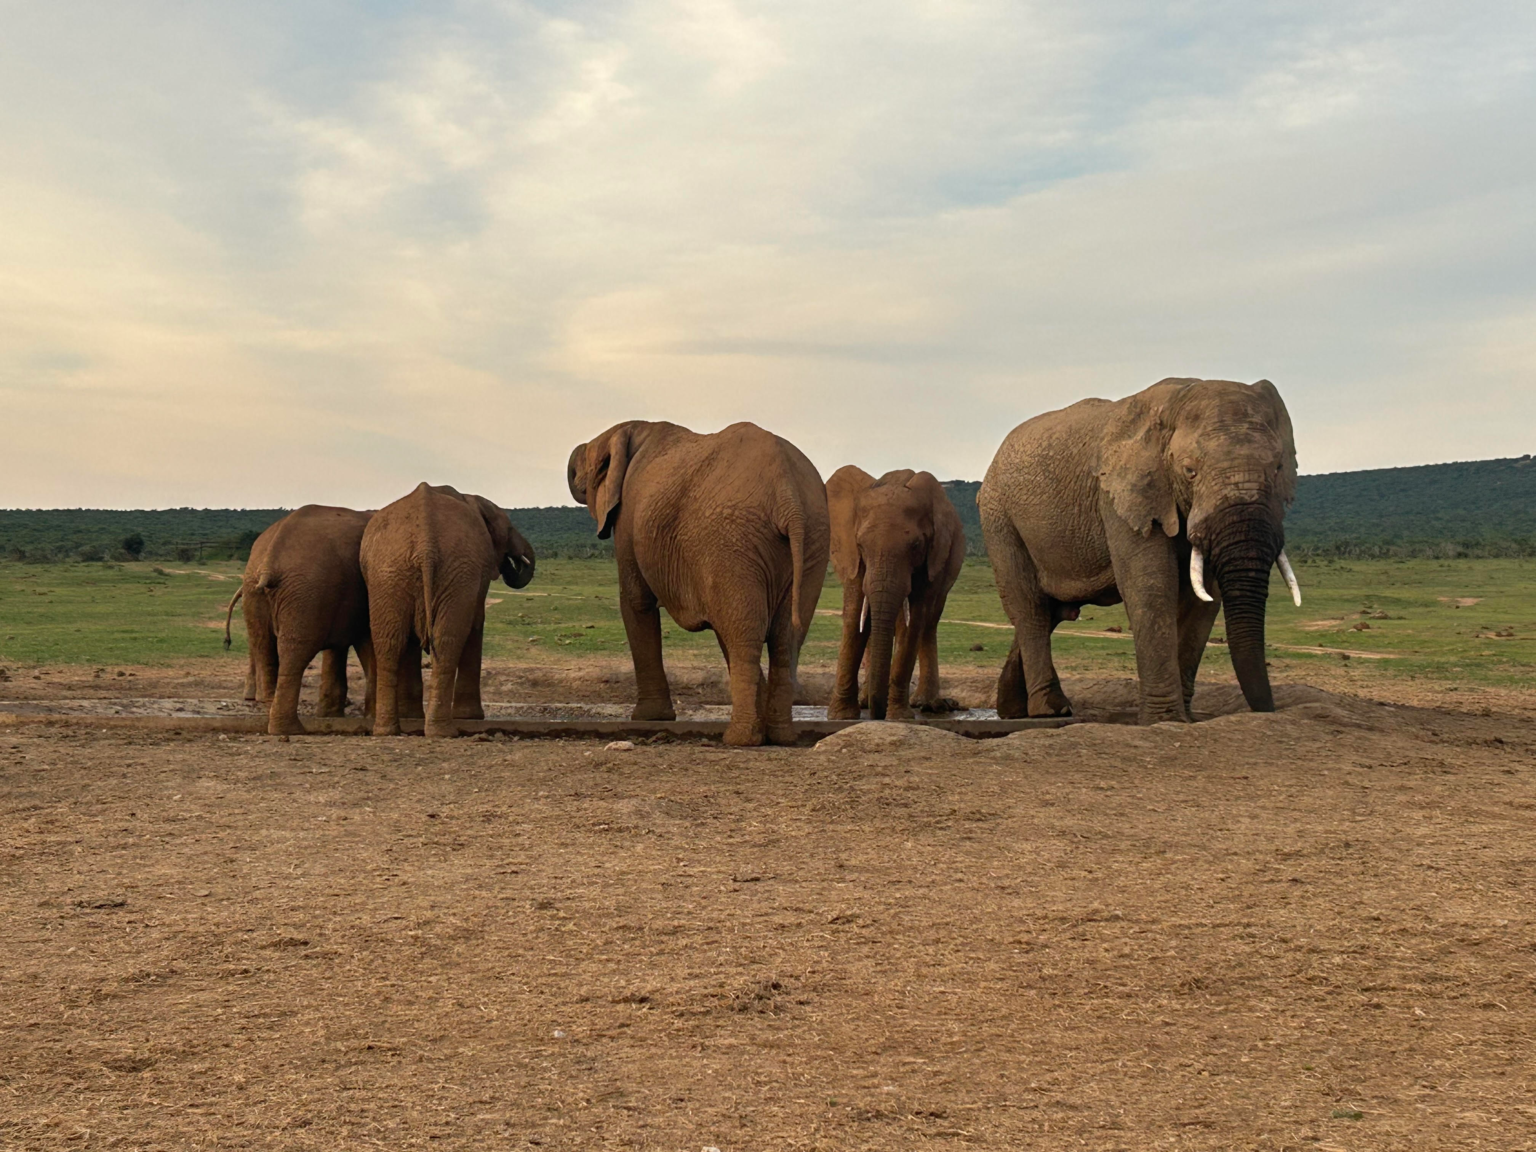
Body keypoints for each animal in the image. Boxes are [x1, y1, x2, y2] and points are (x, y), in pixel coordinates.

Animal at [229, 505, 378, 736]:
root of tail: (270, 560)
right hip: (306, 591)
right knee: (295, 648)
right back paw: (290, 728)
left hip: (259, 589)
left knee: (264, 645)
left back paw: (271, 712)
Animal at [360, 483, 535, 737]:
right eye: (509, 528)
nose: (517, 559)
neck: (470, 498)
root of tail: (425, 545)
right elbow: (476, 622)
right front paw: (471, 717)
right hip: (449, 571)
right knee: (447, 639)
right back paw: (443, 731)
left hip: (388, 572)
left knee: (390, 641)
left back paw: (388, 731)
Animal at [567, 420, 830, 747]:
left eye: (587, 463)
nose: (573, 459)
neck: (635, 428)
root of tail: (787, 494)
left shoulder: (628, 519)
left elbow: (636, 600)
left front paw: (648, 718)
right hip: (812, 539)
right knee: (785, 636)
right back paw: (780, 736)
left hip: (732, 539)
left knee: (744, 633)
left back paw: (739, 739)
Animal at [826, 467, 966, 721]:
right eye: (860, 545)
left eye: (915, 546)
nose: (877, 715)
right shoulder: (851, 556)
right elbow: (855, 616)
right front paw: (842, 717)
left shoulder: (931, 557)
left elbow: (913, 621)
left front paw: (899, 717)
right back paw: (866, 700)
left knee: (929, 623)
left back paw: (929, 704)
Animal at [978, 377, 1301, 725]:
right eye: (1190, 471)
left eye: (1278, 467)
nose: (1268, 710)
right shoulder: (1123, 495)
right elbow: (1151, 585)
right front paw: (1165, 721)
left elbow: (1204, 598)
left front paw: (1184, 719)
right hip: (1000, 520)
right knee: (1031, 609)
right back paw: (1050, 710)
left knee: (1050, 611)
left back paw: (1012, 711)